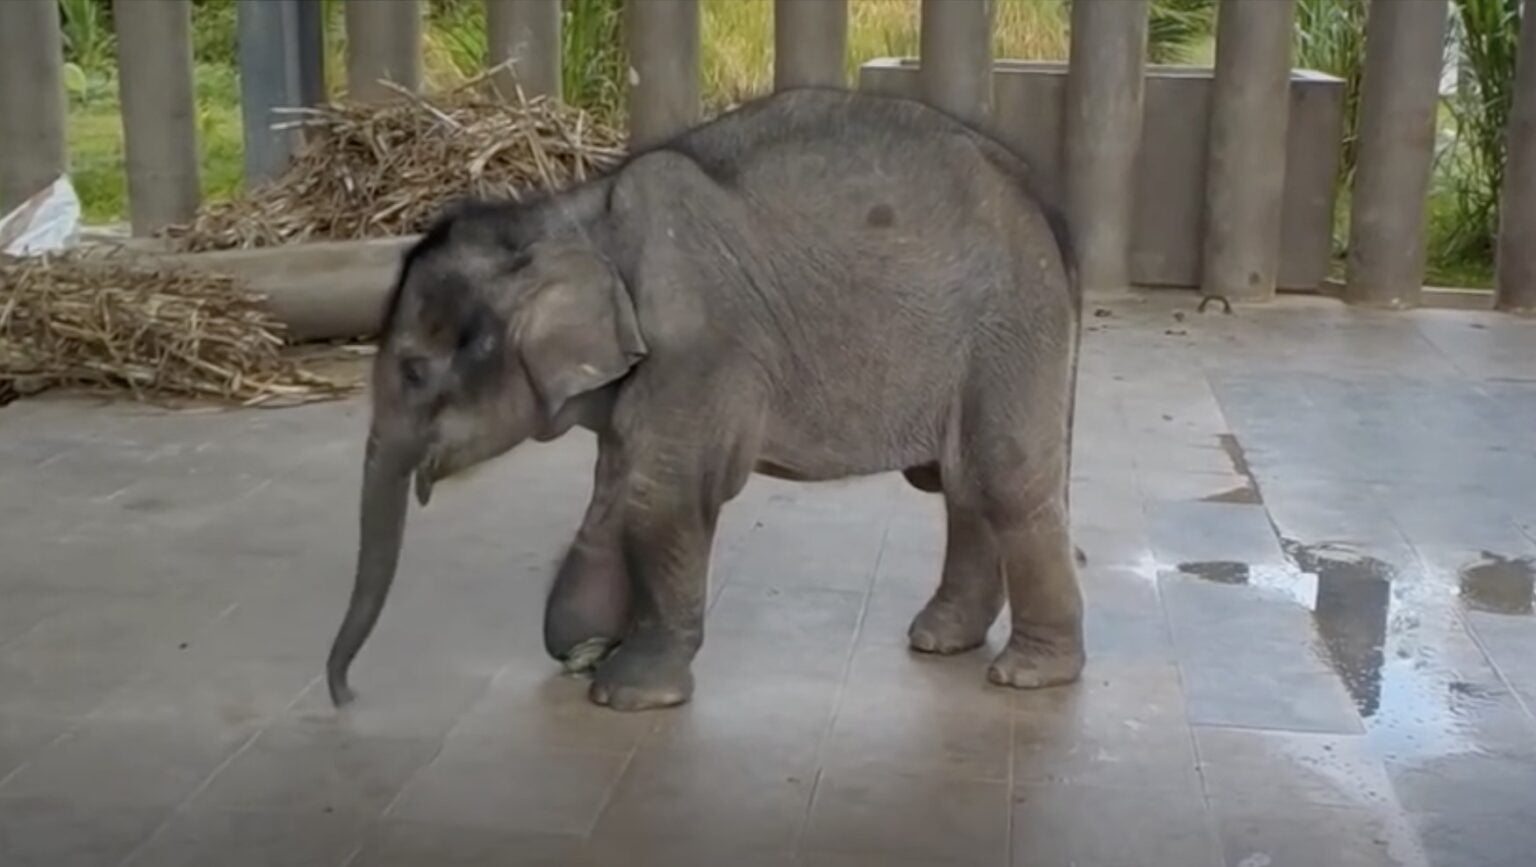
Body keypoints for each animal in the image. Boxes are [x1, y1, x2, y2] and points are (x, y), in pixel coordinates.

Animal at [325, 85, 1084, 713]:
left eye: (414, 372)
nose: (345, 695)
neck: (570, 215)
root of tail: (1041, 201)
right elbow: (615, 493)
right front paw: (584, 646)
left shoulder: (695, 348)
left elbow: (660, 497)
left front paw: (628, 693)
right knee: (965, 485)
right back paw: (940, 638)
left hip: (1011, 326)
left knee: (1005, 481)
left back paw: (1028, 675)